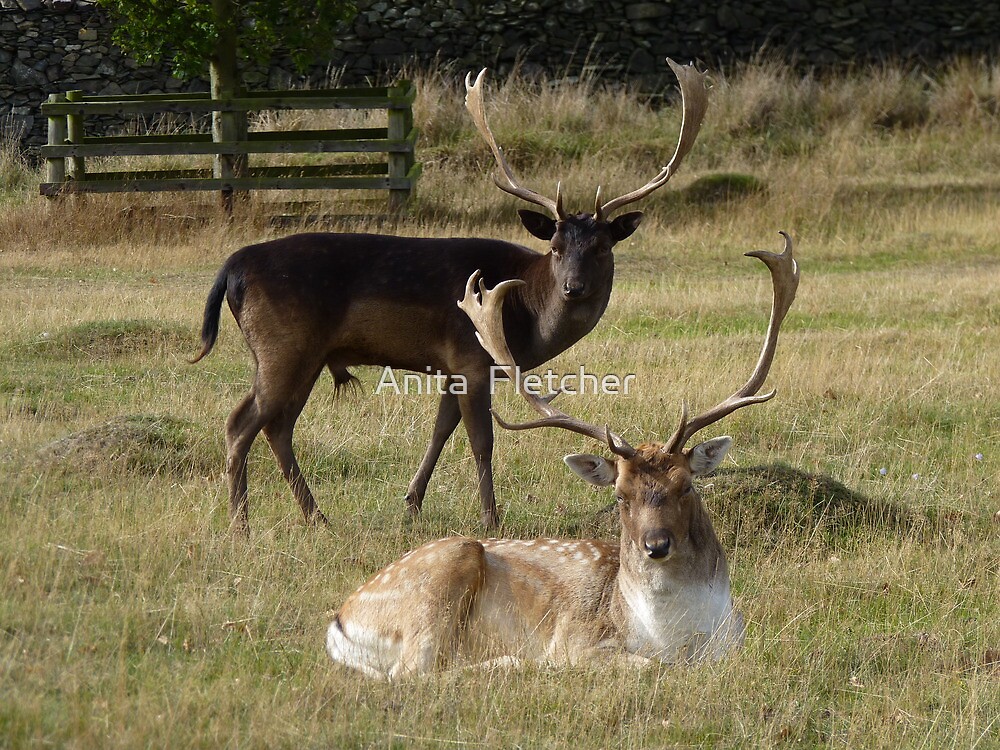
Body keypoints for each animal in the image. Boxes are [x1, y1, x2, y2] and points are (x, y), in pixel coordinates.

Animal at [192, 59, 710, 533]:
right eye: (556, 246)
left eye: (602, 246)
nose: (573, 287)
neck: (524, 316)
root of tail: (231, 269)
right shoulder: (471, 357)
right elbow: (482, 441)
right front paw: (491, 519)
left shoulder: (450, 367)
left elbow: (441, 429)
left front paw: (412, 503)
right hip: (283, 345)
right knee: (242, 422)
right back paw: (240, 522)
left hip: (305, 354)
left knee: (277, 425)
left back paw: (315, 516)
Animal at [325, 234, 799, 679]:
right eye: (620, 494)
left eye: (686, 487)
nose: (656, 545)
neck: (677, 639)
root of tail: (340, 620)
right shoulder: (577, 638)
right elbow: (649, 667)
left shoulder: (737, 639)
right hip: (443, 574)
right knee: (414, 670)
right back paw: (514, 662)